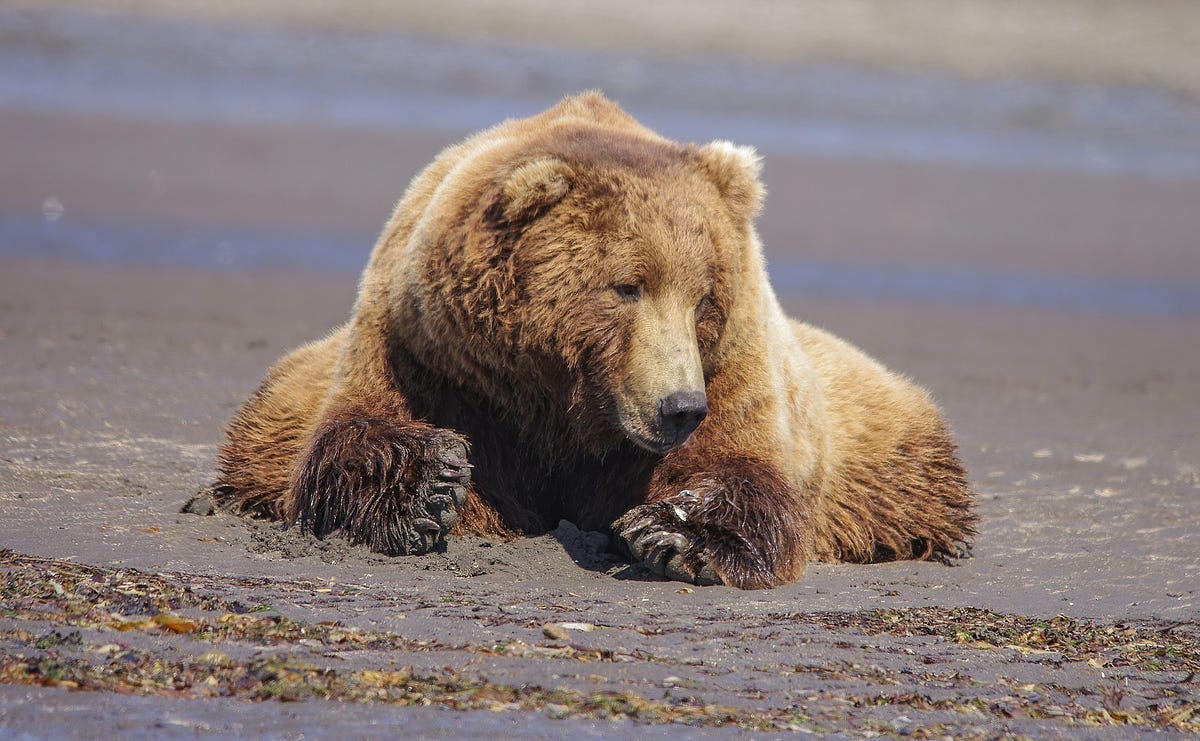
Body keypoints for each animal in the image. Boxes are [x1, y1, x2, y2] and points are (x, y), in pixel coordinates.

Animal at [211, 92, 975, 589]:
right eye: (627, 285)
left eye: (704, 296)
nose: (679, 407)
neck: (567, 404)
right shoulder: (428, 351)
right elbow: (355, 433)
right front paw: (431, 484)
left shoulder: (733, 365)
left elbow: (746, 470)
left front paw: (674, 532)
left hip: (879, 439)